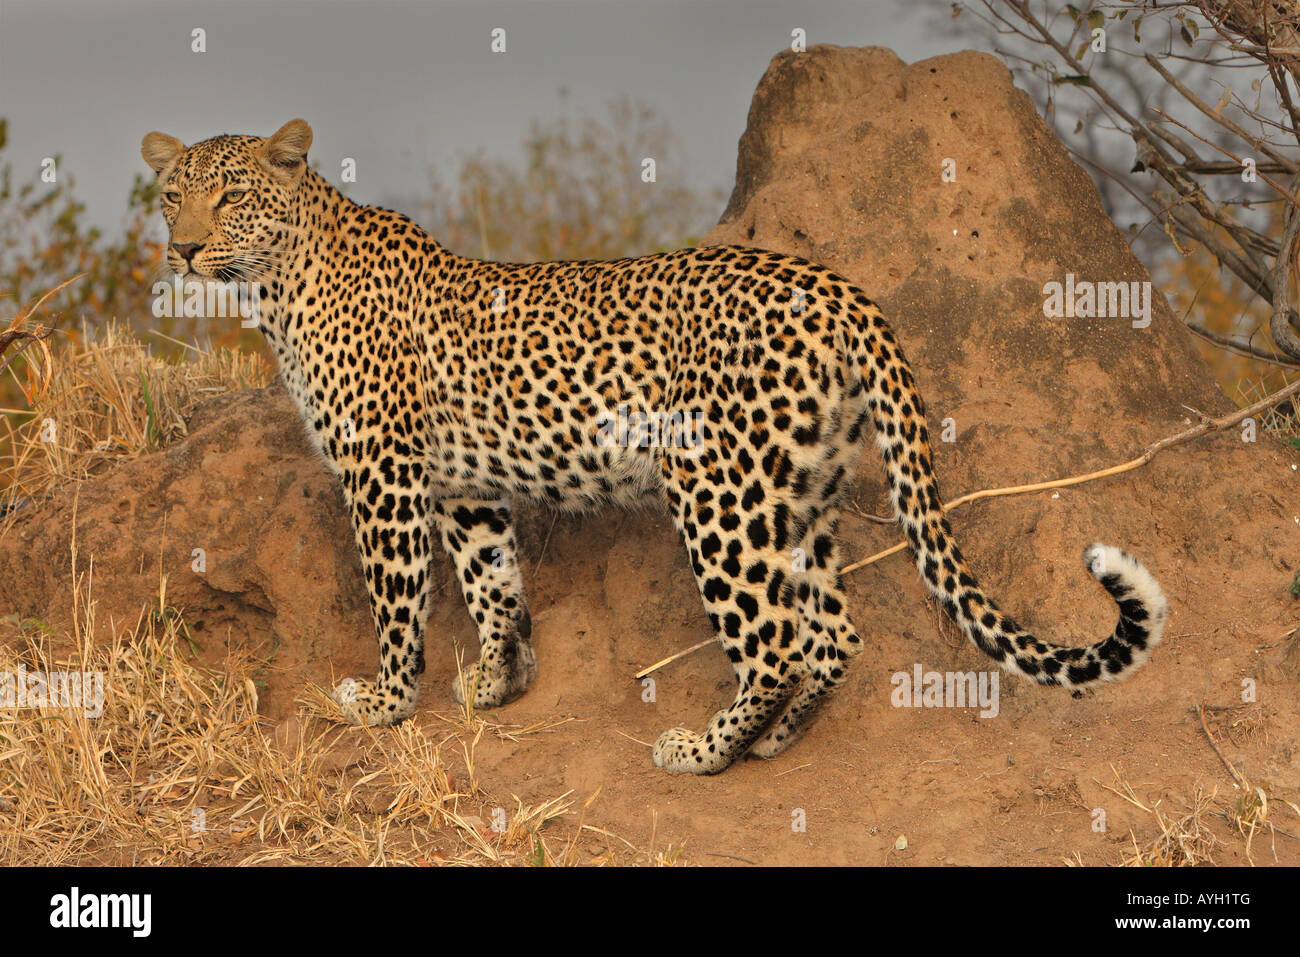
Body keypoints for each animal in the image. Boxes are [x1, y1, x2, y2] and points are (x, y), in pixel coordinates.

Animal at [141, 119, 1168, 775]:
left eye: (229, 197)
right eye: (170, 197)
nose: (182, 249)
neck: (281, 282)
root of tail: (841, 290)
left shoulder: (382, 473)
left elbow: (398, 601)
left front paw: (389, 701)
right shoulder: (465, 483)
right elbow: (493, 582)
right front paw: (498, 682)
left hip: (717, 488)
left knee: (776, 639)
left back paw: (703, 751)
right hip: (800, 492)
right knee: (833, 633)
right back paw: (774, 741)